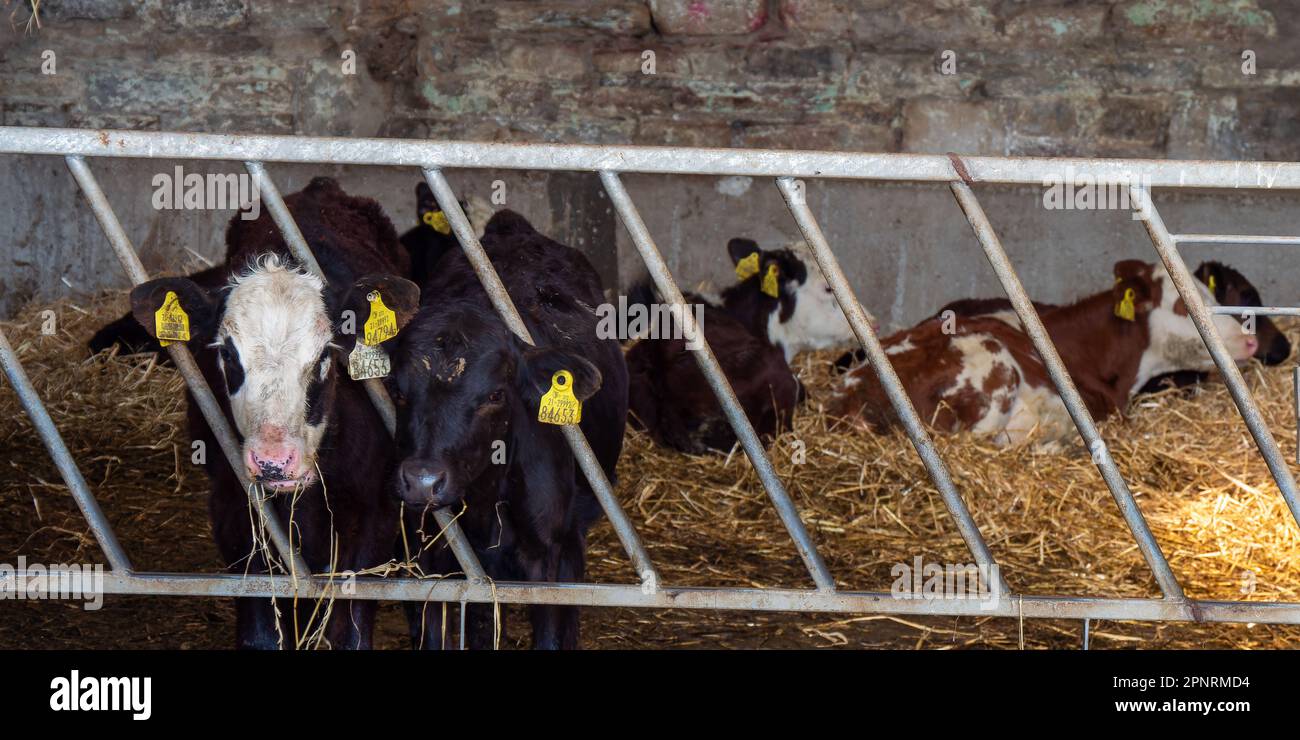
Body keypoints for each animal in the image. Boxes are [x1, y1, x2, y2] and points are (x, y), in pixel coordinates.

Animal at [124, 177, 406, 649]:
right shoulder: (232, 506)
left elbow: (349, 627)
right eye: (227, 356)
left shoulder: (375, 511)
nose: (274, 462)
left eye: (325, 356)